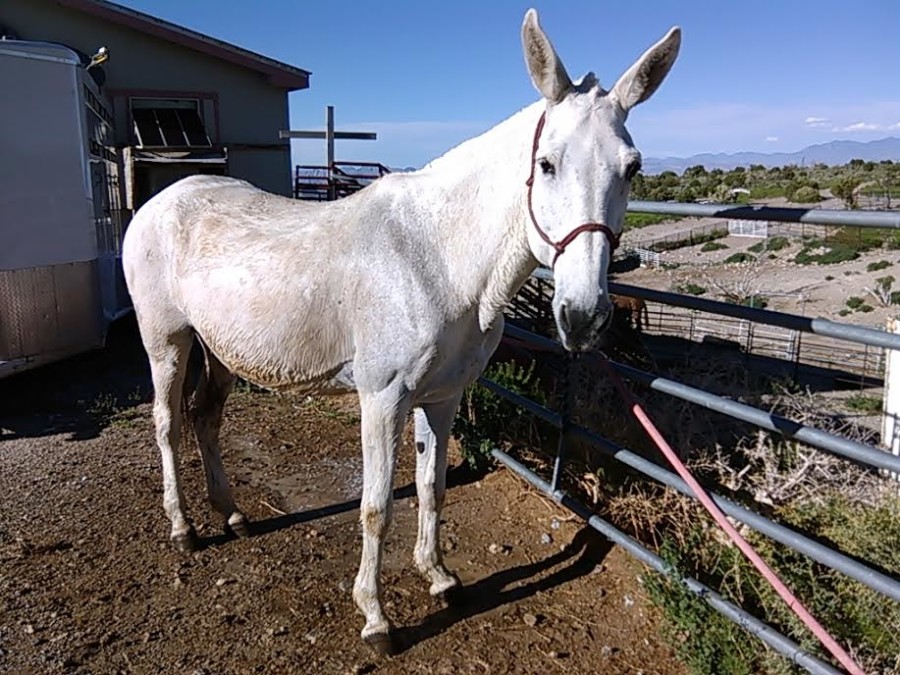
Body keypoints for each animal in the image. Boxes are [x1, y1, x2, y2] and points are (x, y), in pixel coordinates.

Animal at [121, 9, 680, 654]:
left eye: (632, 167)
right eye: (547, 164)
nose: (583, 315)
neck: (435, 258)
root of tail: (160, 202)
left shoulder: (441, 397)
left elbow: (432, 487)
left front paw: (438, 577)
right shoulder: (382, 399)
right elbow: (377, 507)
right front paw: (376, 617)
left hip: (217, 350)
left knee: (205, 419)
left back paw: (231, 514)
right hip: (167, 342)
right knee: (167, 424)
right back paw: (184, 527)